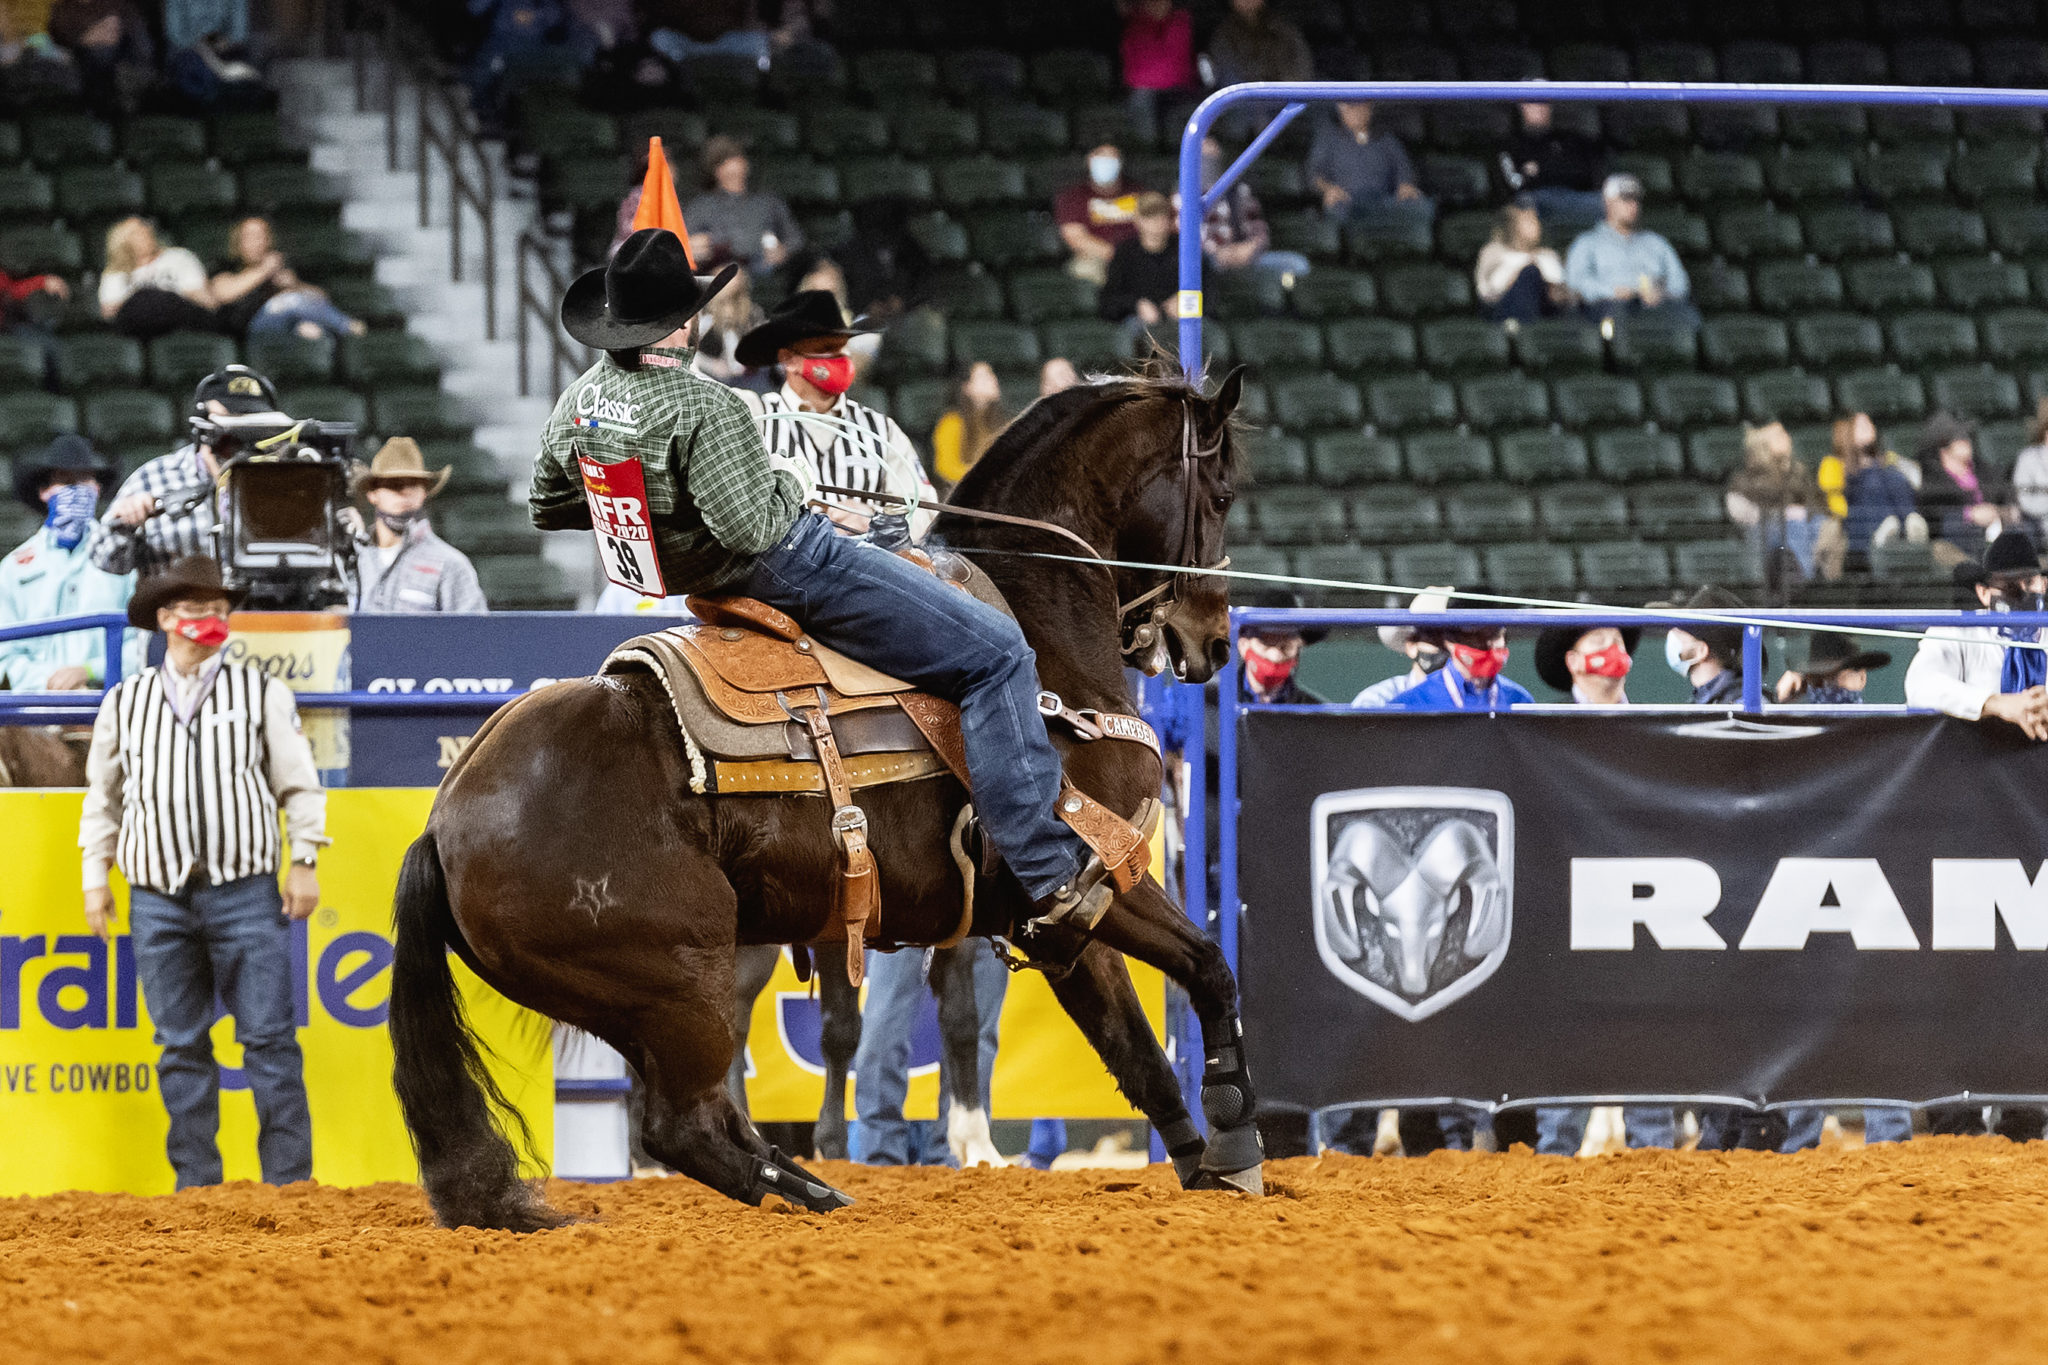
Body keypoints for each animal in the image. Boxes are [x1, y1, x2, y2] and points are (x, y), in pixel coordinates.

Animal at [387, 366, 1263, 1230]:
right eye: (1221, 493)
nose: (1215, 640)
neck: (1043, 645)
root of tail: (442, 822)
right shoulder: (1094, 878)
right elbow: (1209, 969)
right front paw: (1237, 1140)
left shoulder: (1069, 911)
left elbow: (1136, 1051)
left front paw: (1204, 1168)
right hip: (678, 978)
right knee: (680, 1122)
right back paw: (803, 1186)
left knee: (700, 1114)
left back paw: (799, 1178)